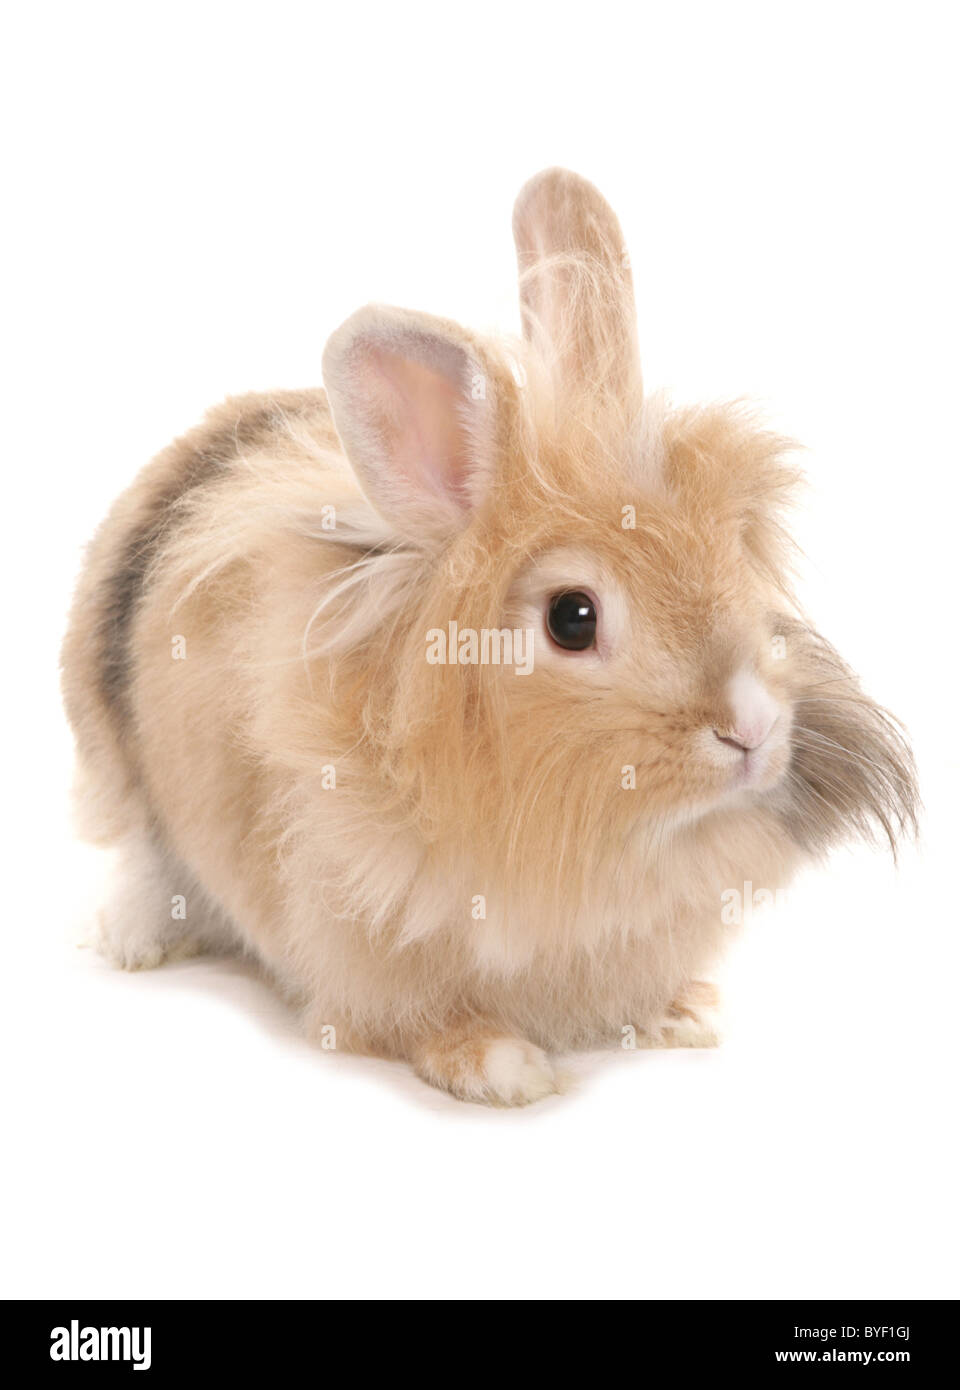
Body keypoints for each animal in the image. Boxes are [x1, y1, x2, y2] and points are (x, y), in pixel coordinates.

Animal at [61, 167, 918, 1105]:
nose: (754, 730)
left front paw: (686, 1013)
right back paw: (134, 942)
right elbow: (418, 1019)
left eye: (735, 554)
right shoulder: (366, 941)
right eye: (572, 618)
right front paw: (502, 1066)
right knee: (145, 858)